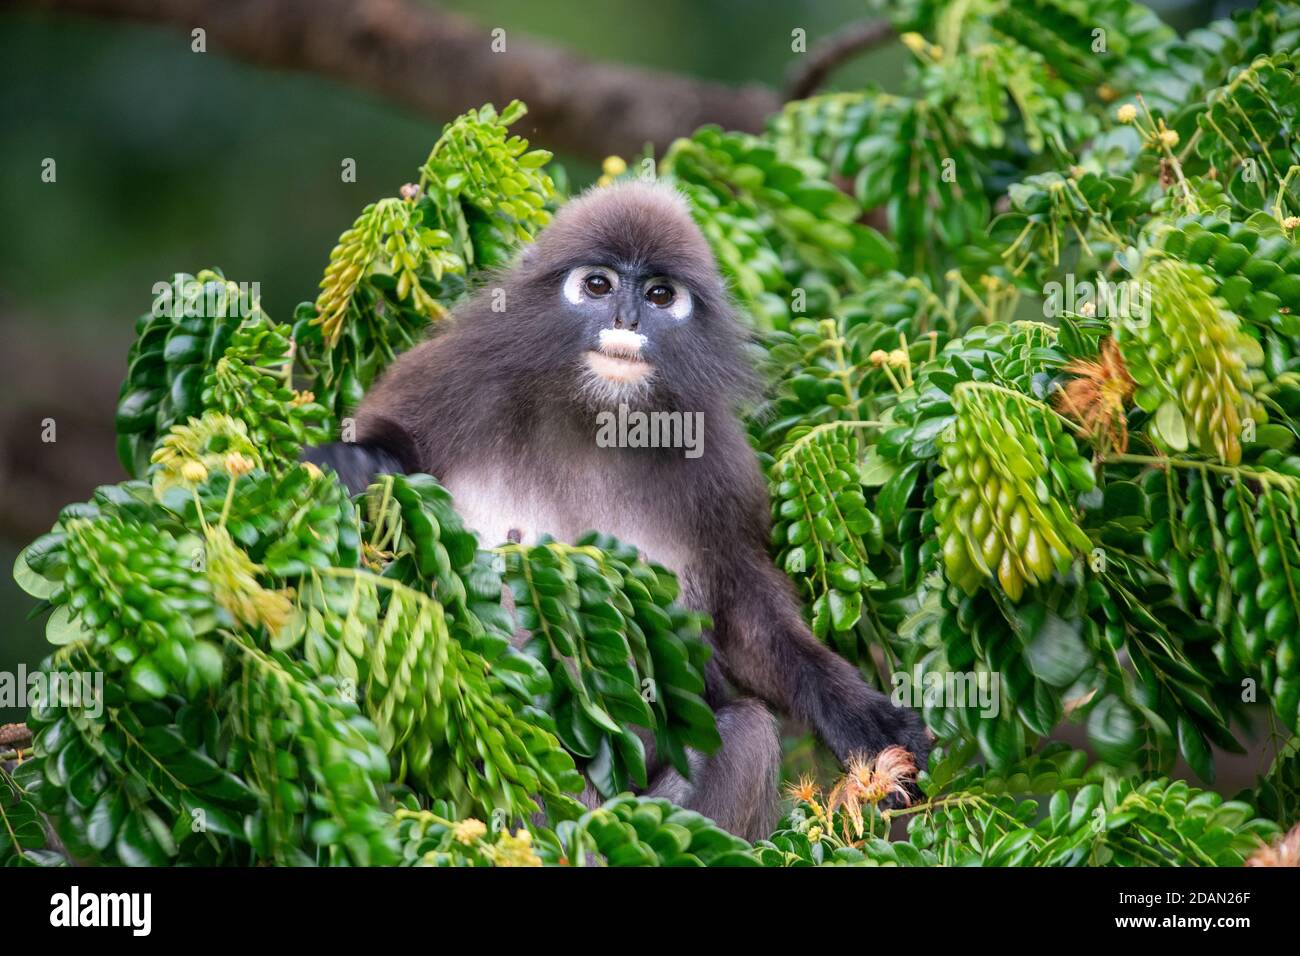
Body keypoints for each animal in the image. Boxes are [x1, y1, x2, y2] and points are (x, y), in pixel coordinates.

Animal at [305, 180, 930, 840]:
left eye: (659, 295)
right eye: (599, 285)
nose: (626, 320)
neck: (596, 413)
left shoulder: (720, 459)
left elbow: (747, 616)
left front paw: (864, 720)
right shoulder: (451, 378)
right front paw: (353, 462)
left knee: (750, 732)